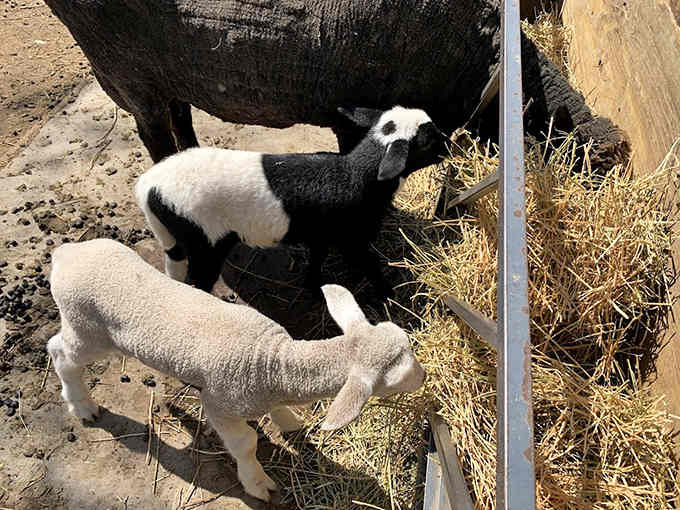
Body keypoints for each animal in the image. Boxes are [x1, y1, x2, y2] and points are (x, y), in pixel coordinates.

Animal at [47, 239, 426, 502]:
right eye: (394, 380)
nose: (424, 378)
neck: (273, 361)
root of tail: (66, 254)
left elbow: (279, 412)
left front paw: (289, 422)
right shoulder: (220, 404)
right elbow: (245, 443)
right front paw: (258, 483)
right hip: (87, 328)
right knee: (60, 352)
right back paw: (82, 405)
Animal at [135, 105, 449, 298]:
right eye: (427, 140)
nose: (450, 144)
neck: (354, 175)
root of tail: (149, 186)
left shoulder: (321, 234)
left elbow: (316, 260)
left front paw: (313, 288)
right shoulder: (351, 239)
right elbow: (370, 265)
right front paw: (389, 297)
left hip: (177, 236)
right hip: (205, 240)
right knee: (197, 283)